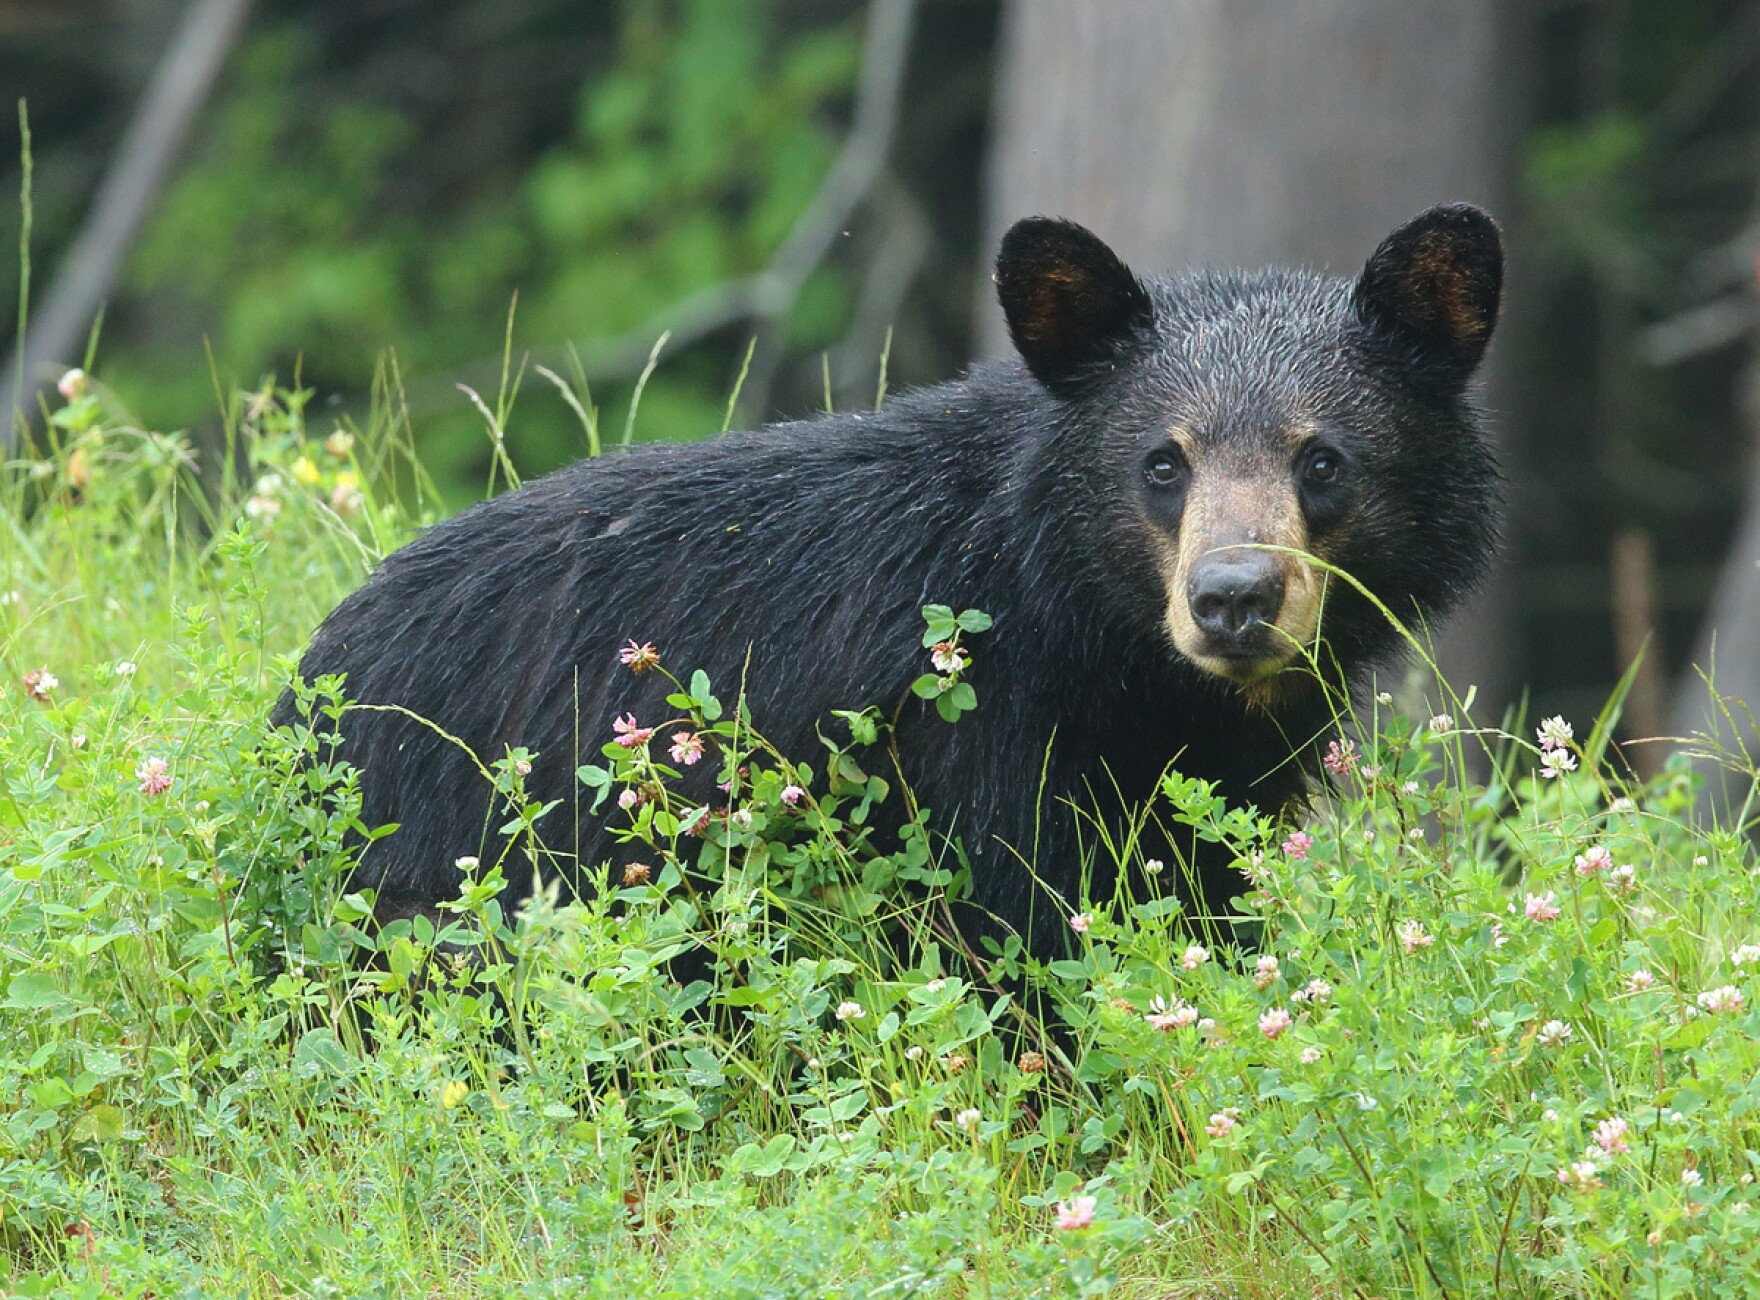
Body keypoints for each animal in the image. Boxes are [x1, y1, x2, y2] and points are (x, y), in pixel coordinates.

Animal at [273, 203, 1501, 967]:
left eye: (1321, 459)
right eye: (1164, 462)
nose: (1234, 597)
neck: (1084, 629)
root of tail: (298, 698)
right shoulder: (972, 742)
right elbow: (1023, 931)